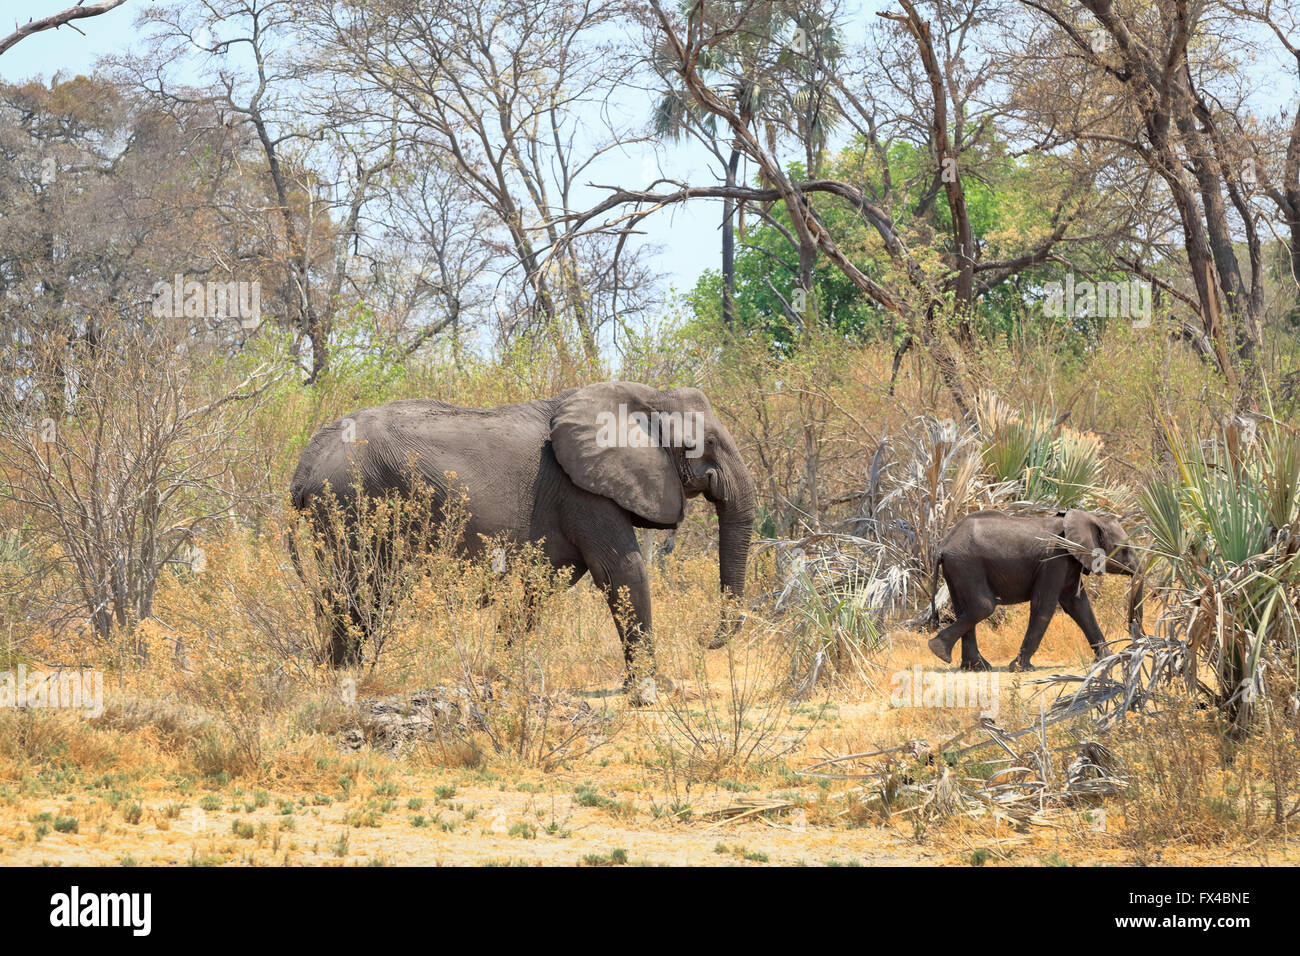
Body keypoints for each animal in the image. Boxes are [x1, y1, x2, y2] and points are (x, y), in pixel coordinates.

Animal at [288, 382, 757, 697]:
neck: (644, 394)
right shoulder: (582, 490)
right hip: (352, 501)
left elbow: (540, 586)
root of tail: (307, 460)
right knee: (360, 586)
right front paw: (648, 692)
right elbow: (622, 571)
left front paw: (500, 678)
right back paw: (343, 677)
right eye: (705, 443)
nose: (708, 640)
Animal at [925, 509, 1139, 672]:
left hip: (956, 567)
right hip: (967, 564)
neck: (1090, 517)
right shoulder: (1055, 558)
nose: (1134, 635)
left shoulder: (1069, 562)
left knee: (963, 608)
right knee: (983, 606)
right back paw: (939, 651)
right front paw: (1021, 669)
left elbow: (1078, 606)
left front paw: (1109, 659)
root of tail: (942, 546)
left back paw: (975, 667)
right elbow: (1044, 605)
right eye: (1124, 549)